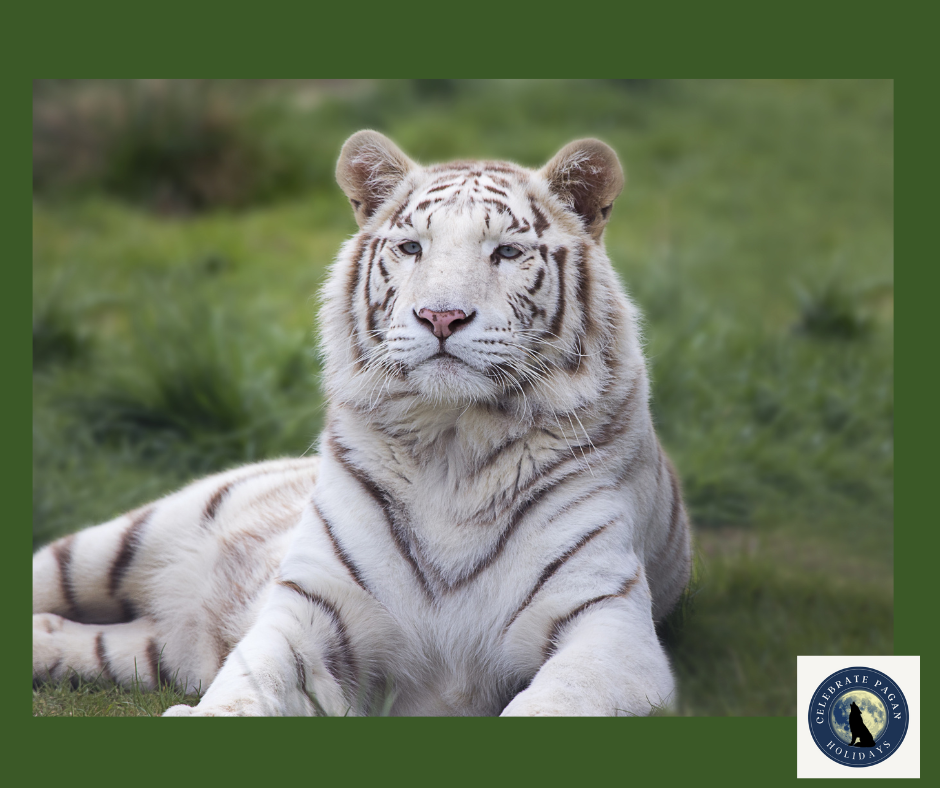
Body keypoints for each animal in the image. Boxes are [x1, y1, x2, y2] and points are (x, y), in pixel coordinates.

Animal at [32, 130, 692, 716]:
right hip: (125, 538)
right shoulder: (315, 606)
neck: (454, 443)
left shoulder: (608, 625)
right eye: (412, 248)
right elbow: (250, 679)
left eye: (506, 252)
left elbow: (553, 702)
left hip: (157, 648)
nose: (441, 316)